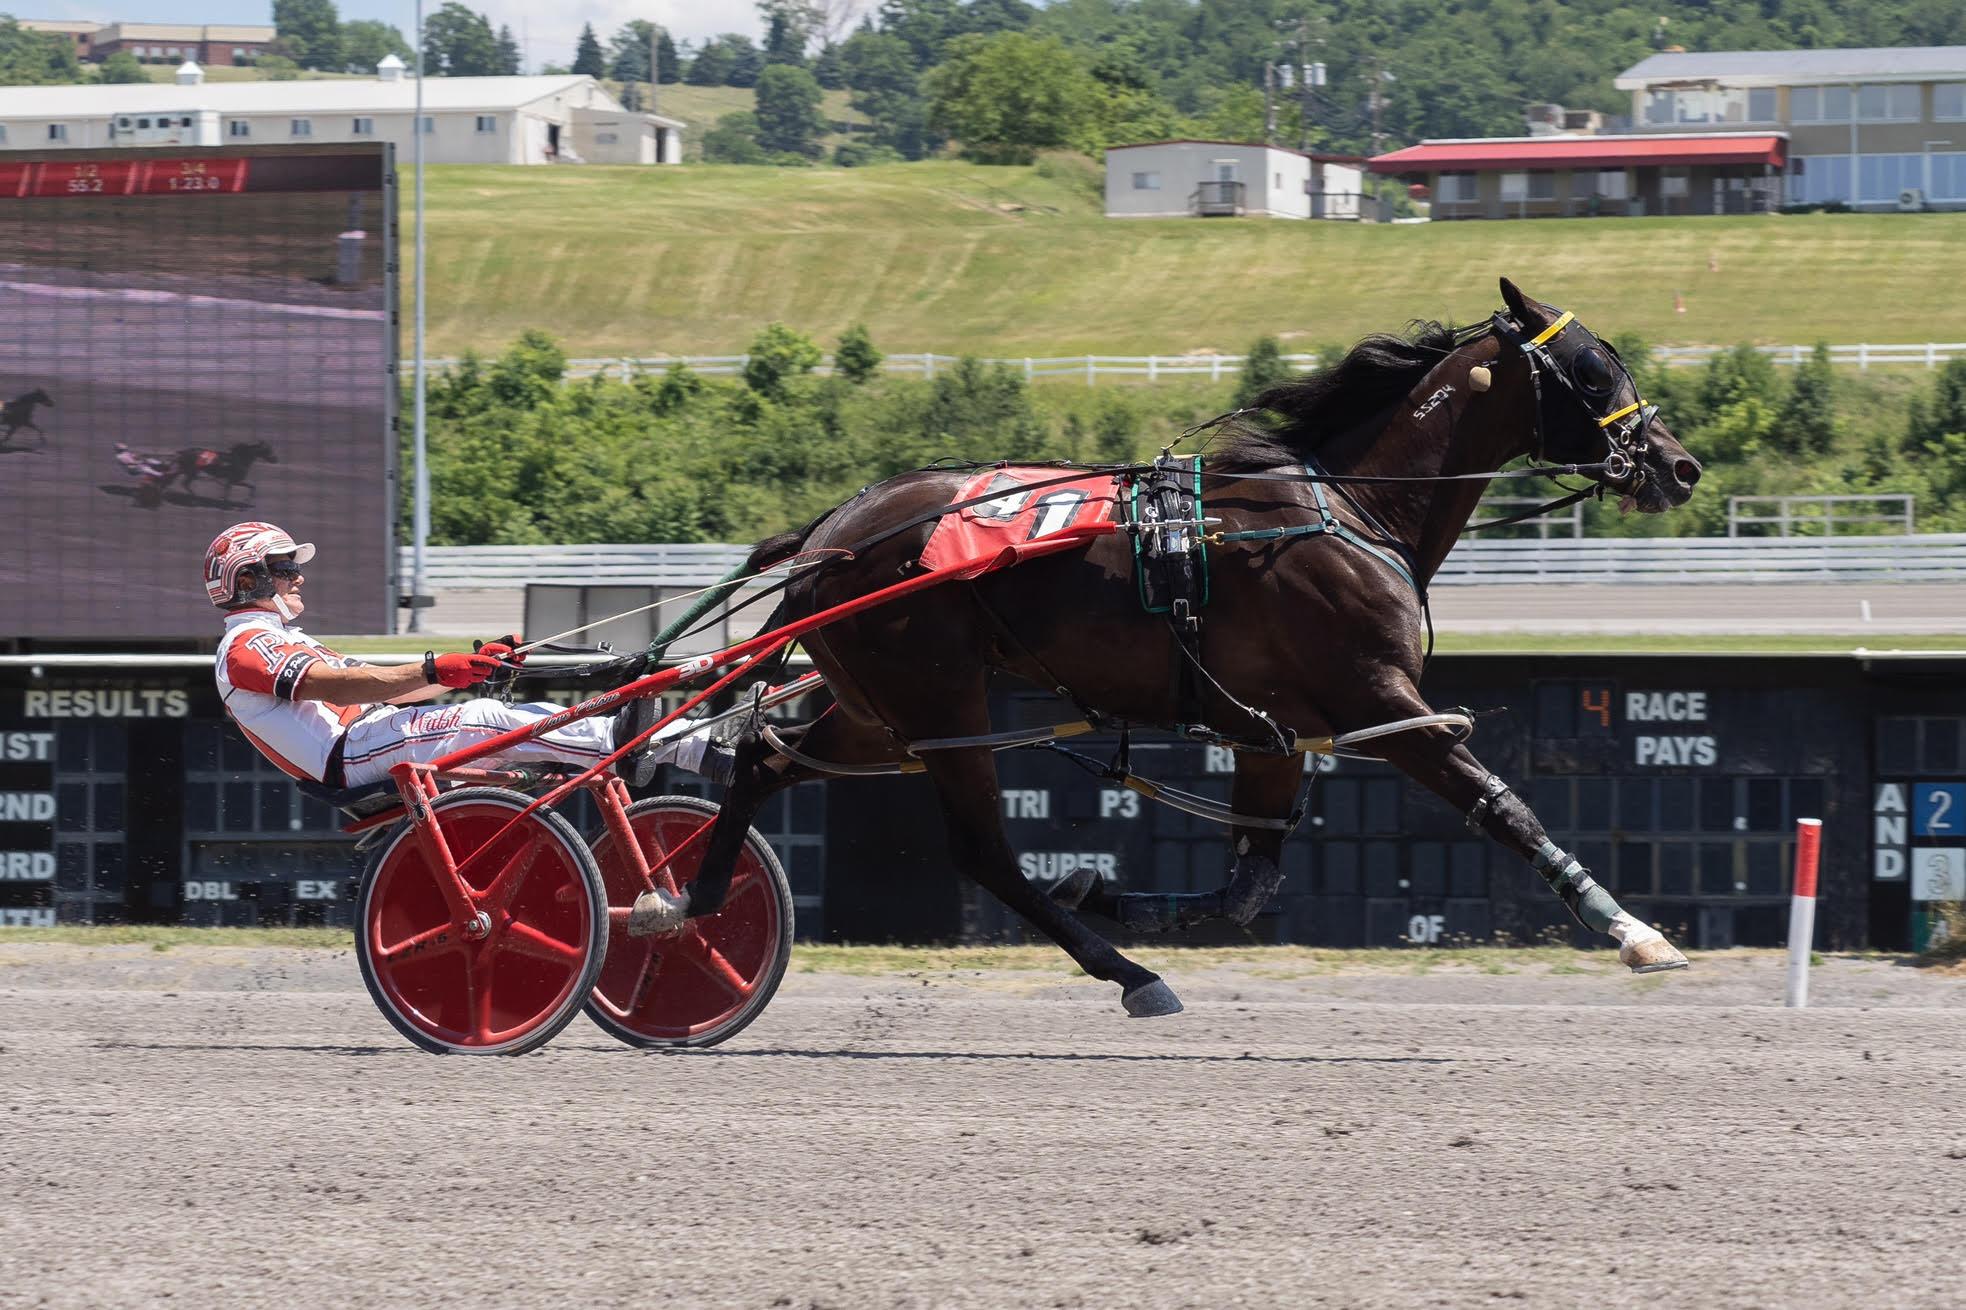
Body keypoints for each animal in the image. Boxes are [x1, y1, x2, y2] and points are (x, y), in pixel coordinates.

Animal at [643, 278, 1706, 1017]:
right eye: (1595, 370)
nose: (1680, 466)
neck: (1347, 508)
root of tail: (829, 530)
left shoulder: (1275, 731)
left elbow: (1246, 887)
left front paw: (1104, 888)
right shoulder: (1380, 704)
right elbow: (1507, 807)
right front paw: (1636, 932)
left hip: (879, 709)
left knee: (764, 756)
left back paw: (686, 904)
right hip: (940, 702)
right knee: (982, 850)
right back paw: (1130, 974)